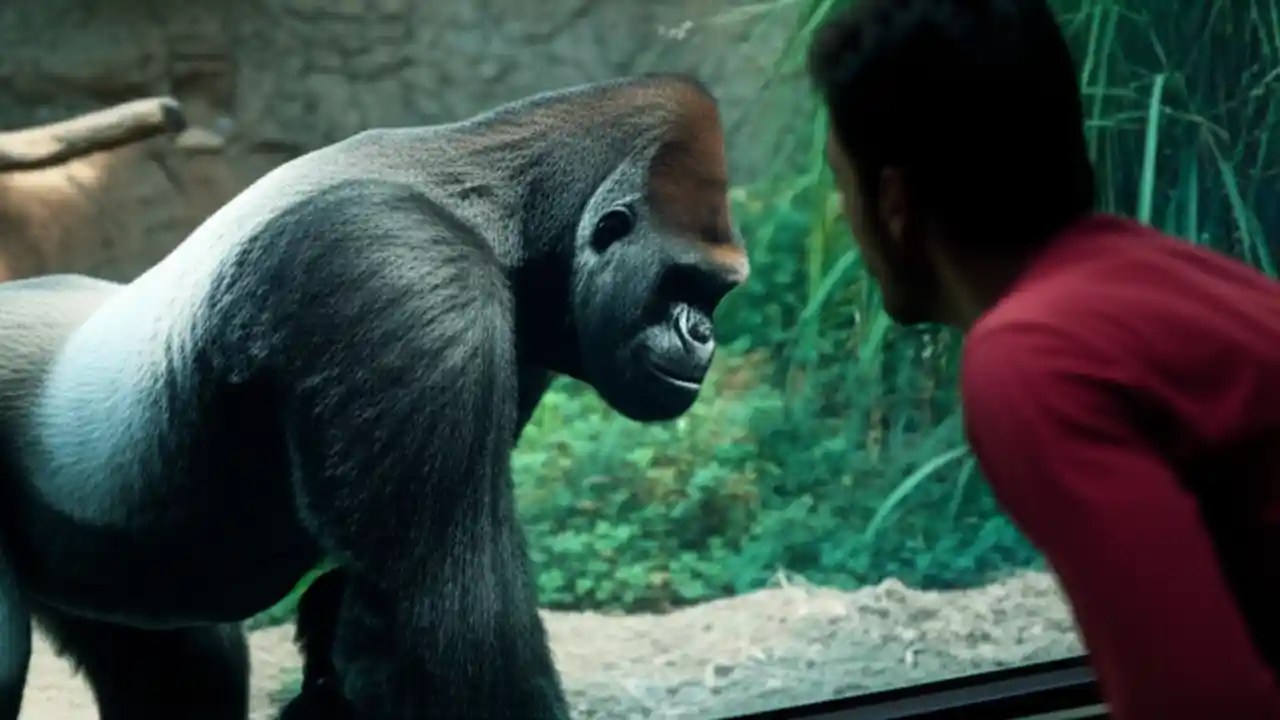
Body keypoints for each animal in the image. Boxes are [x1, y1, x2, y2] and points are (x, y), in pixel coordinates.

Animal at [0, 73, 750, 720]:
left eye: (716, 292)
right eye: (682, 282)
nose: (703, 335)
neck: (504, 202)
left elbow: (360, 617)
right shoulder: (401, 266)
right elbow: (443, 626)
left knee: (189, 657)